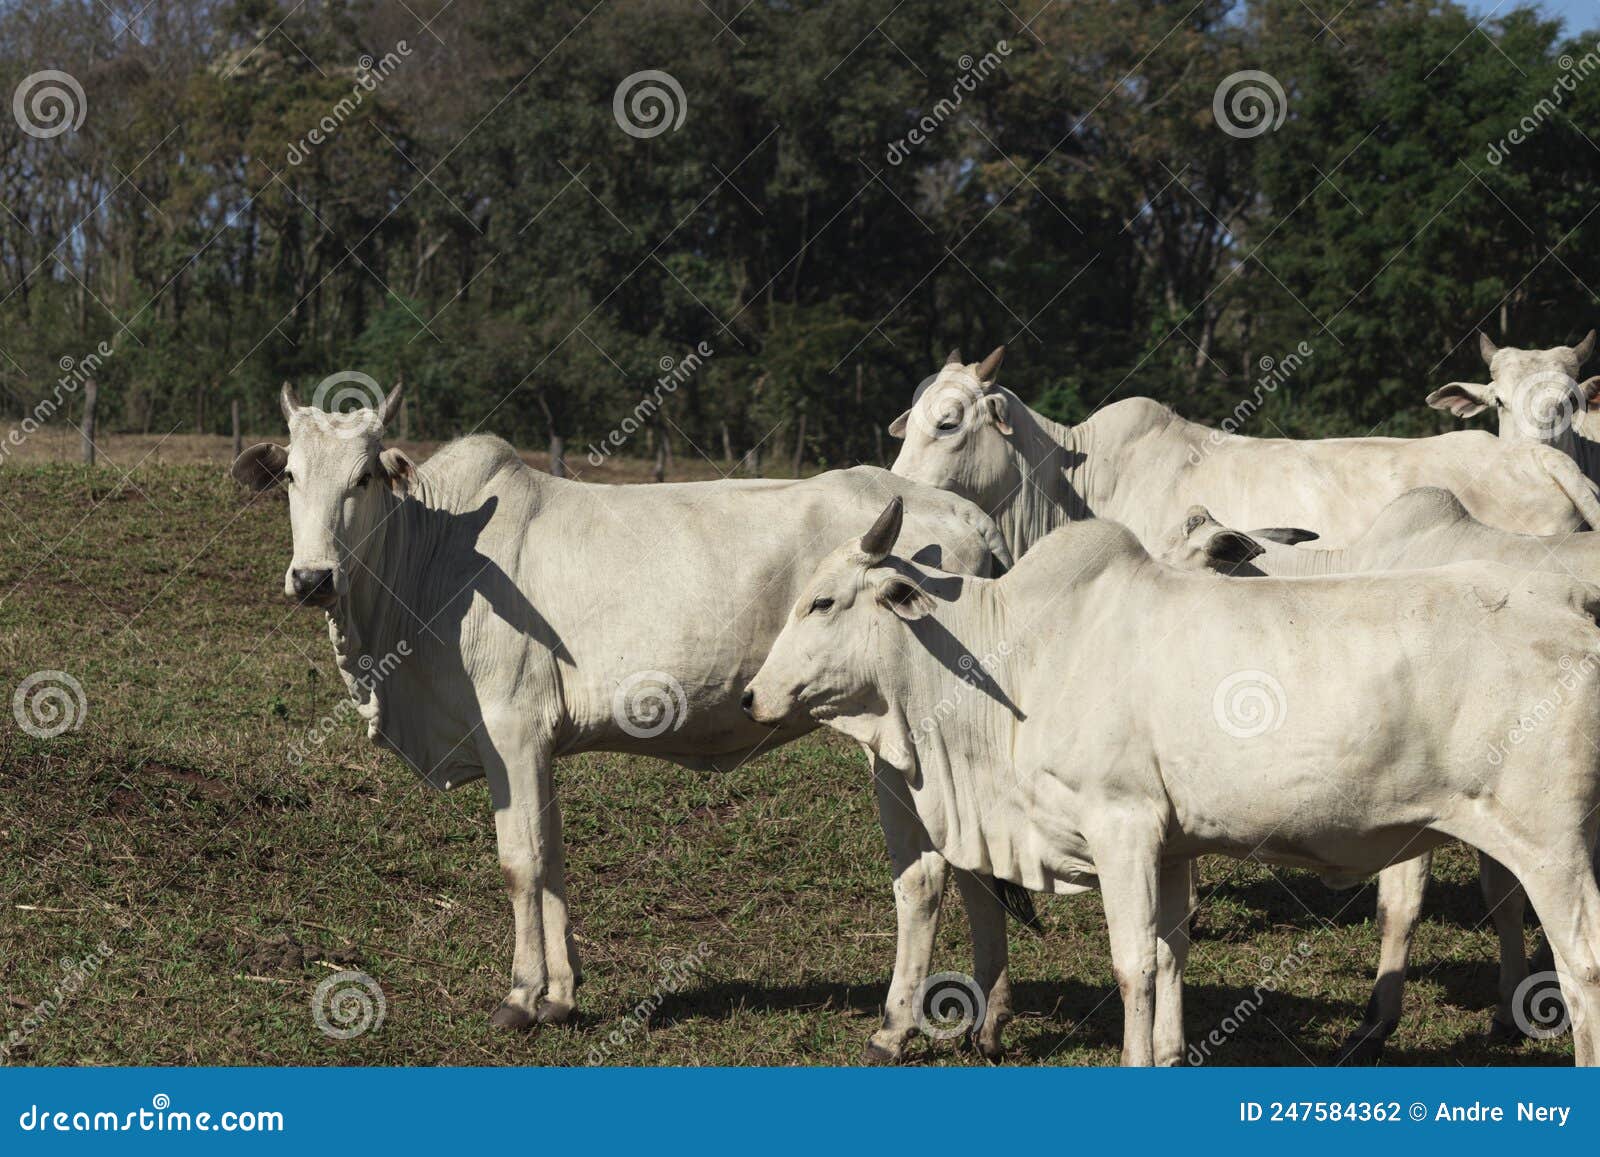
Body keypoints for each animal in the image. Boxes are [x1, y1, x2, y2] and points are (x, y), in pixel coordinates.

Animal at [232, 383, 1022, 1059]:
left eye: (364, 476)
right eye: (292, 476)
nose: (312, 578)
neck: (432, 562)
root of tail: (967, 517)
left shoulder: (510, 727)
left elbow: (520, 863)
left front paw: (520, 996)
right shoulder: (537, 744)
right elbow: (550, 856)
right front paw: (559, 996)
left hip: (897, 739)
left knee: (924, 875)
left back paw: (894, 1028)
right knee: (976, 864)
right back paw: (984, 1023)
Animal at [743, 497, 1600, 1066]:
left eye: (823, 601)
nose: (752, 695)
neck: (1014, 657)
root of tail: (1573, 614)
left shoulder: (1120, 824)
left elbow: (1135, 961)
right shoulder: (1172, 843)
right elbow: (1173, 946)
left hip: (1550, 844)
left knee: (1581, 961)